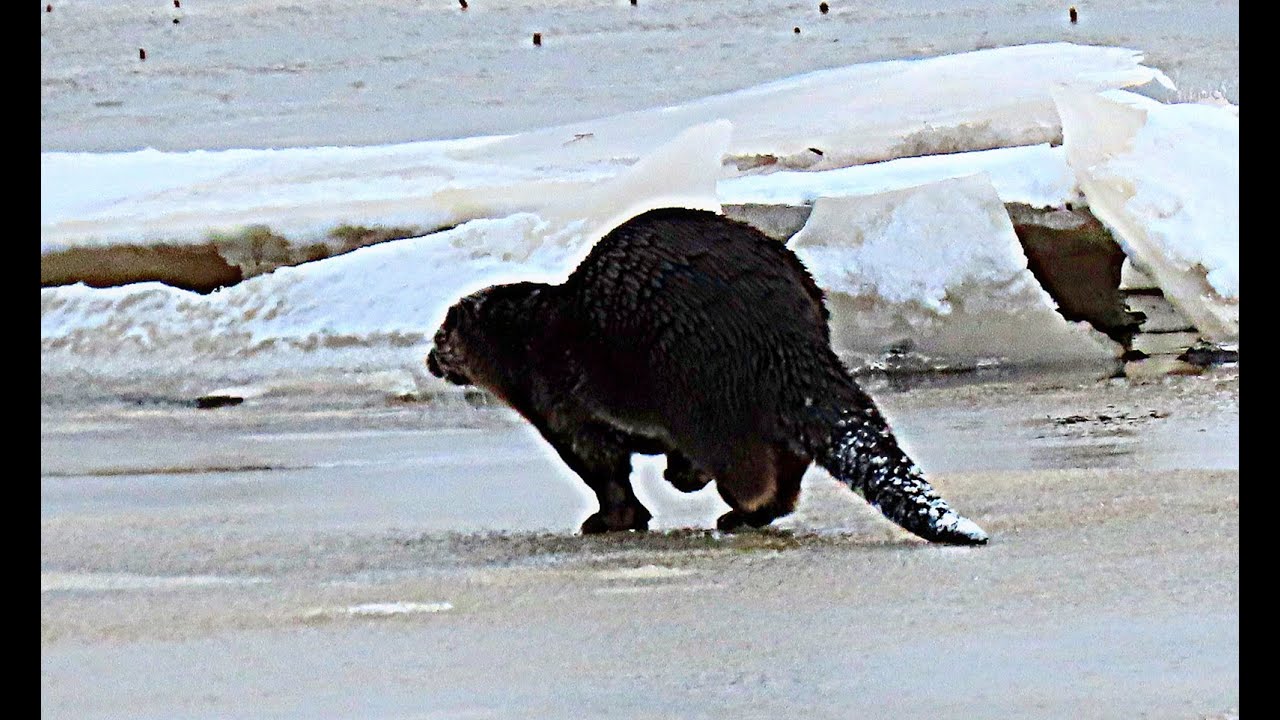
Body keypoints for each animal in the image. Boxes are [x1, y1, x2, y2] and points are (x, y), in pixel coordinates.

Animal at [427, 207, 988, 544]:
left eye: (439, 339)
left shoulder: (563, 410)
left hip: (696, 381)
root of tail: (778, 331)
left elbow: (605, 473)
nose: (430, 362)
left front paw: (609, 521)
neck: (529, 341)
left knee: (744, 465)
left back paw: (737, 511)